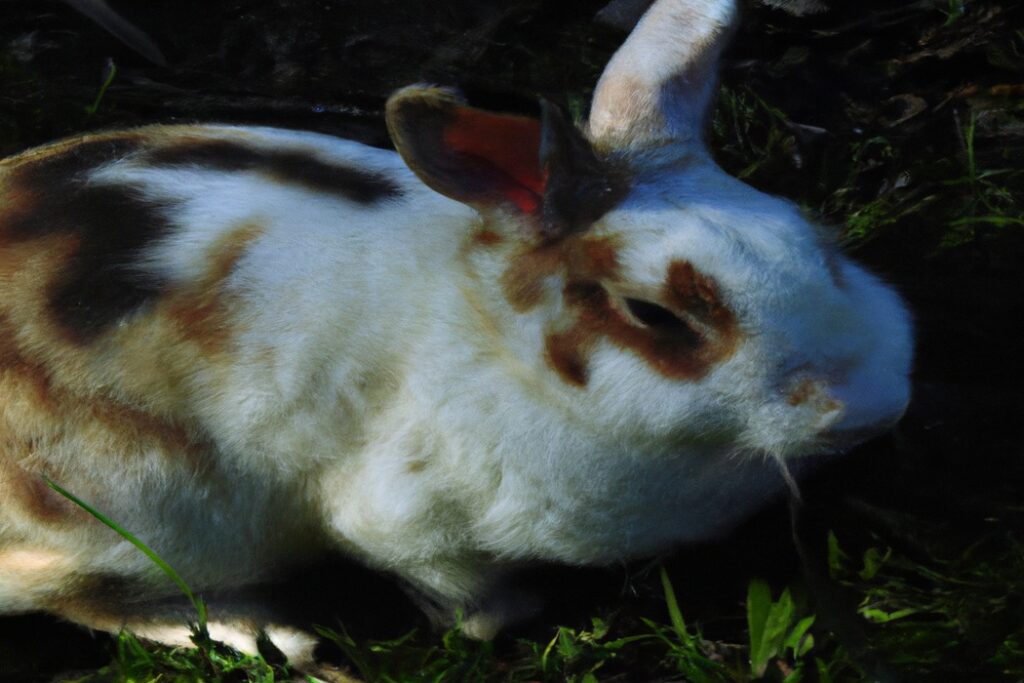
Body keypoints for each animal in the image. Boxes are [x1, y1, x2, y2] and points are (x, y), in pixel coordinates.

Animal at [0, 0, 912, 663]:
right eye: (654, 314)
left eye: (815, 238)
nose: (870, 404)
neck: (502, 335)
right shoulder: (406, 522)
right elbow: (463, 600)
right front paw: (513, 609)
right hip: (135, 516)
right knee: (76, 594)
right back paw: (265, 631)